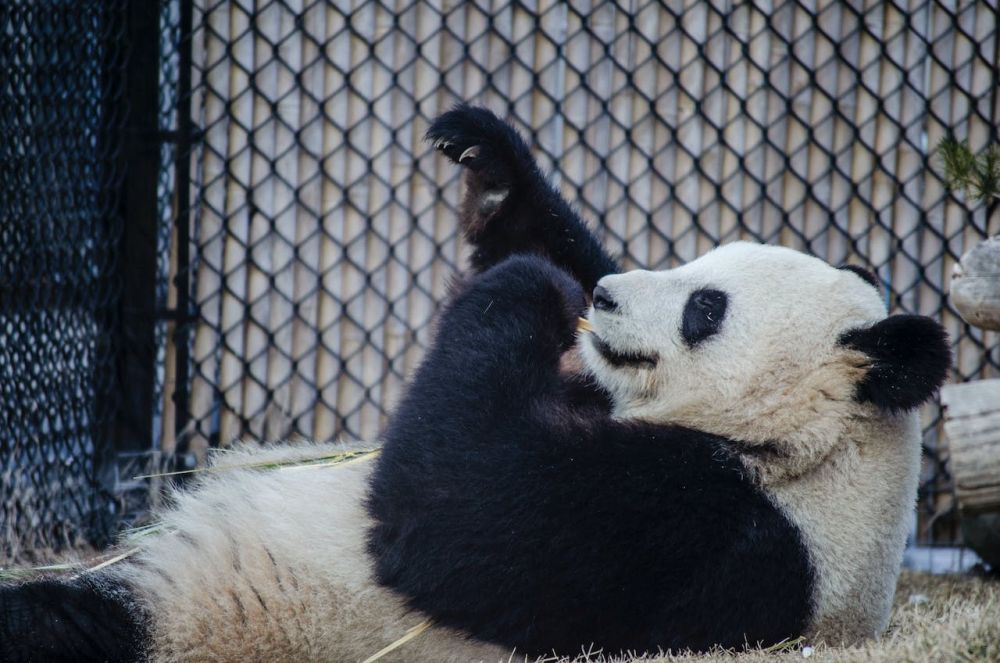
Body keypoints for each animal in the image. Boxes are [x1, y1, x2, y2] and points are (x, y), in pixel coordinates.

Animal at [0, 106, 950, 663]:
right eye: (697, 264)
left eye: (705, 308)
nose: (607, 298)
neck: (817, 450)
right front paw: (493, 166)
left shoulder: (712, 532)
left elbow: (457, 513)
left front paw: (532, 286)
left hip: (201, 617)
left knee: (61, 630)